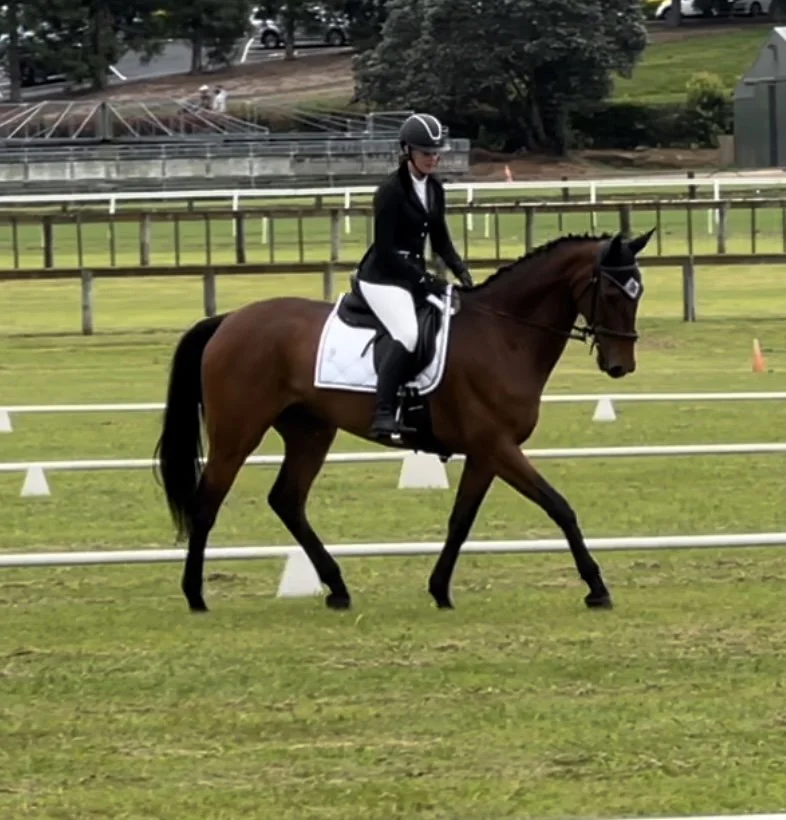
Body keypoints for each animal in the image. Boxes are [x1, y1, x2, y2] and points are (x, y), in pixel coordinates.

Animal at [154, 229, 654, 614]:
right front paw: (597, 588)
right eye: (612, 293)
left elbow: (461, 521)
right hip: (237, 432)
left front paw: (439, 589)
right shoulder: (498, 445)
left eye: (640, 292)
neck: (504, 335)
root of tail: (228, 320)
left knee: (287, 500)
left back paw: (337, 589)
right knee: (208, 501)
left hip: (311, 430)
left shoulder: (486, 452)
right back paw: (195, 595)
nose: (621, 366)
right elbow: (559, 506)